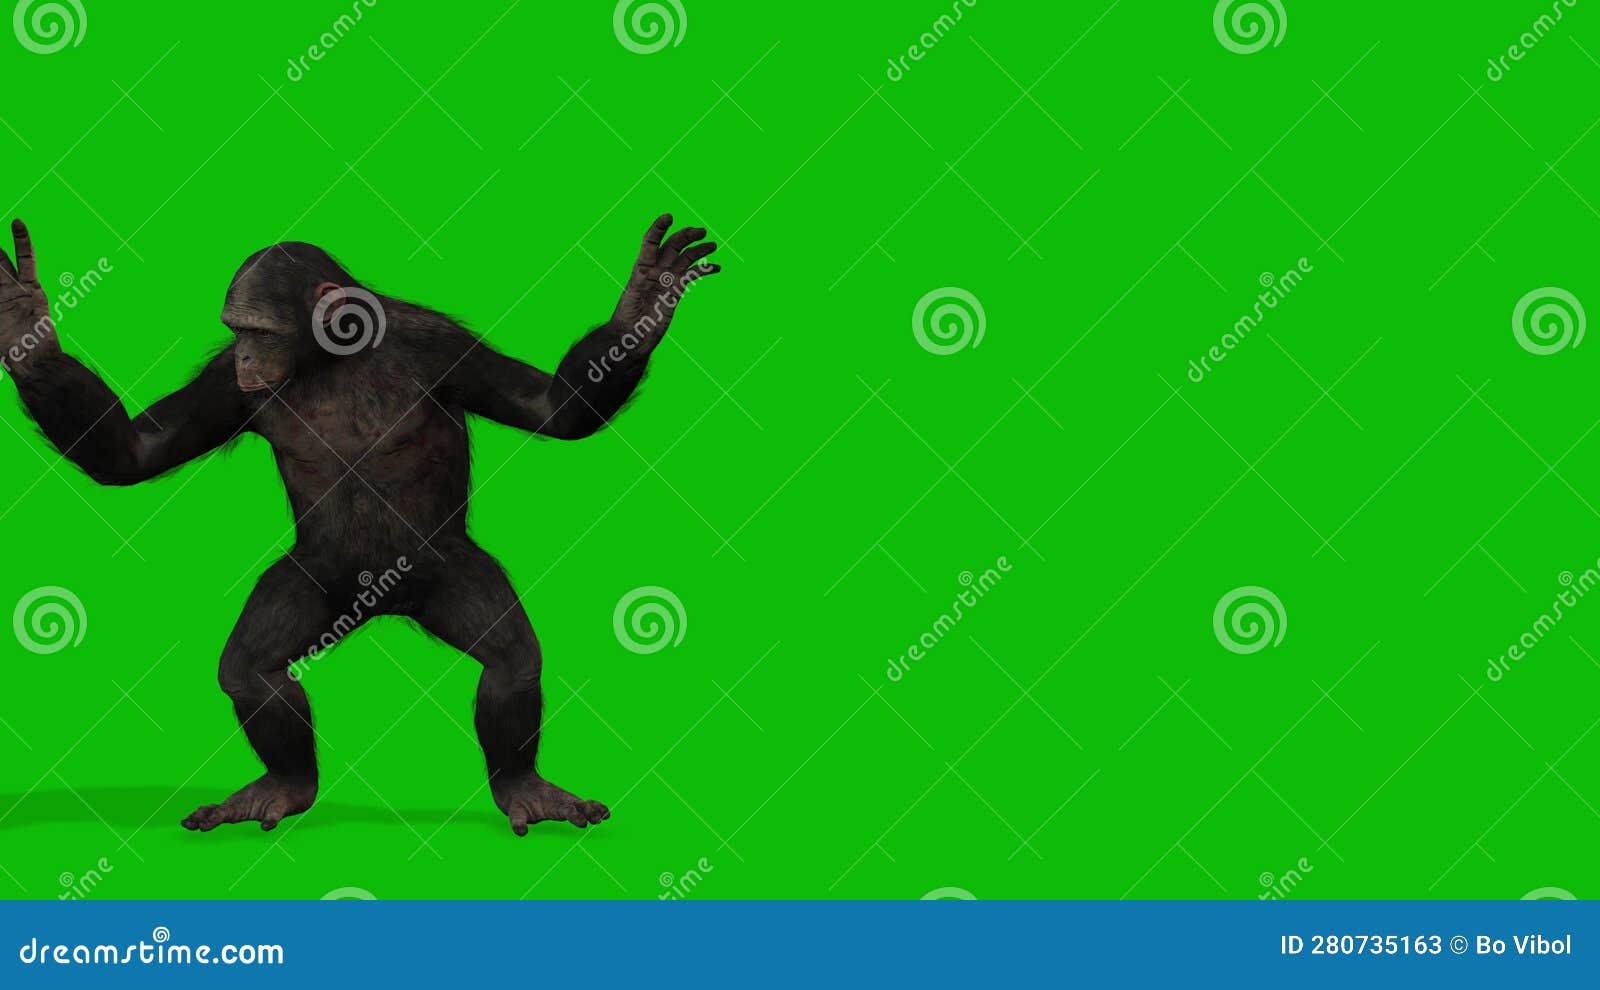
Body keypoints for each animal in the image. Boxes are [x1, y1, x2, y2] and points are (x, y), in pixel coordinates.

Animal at [0, 215, 719, 834]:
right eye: (238, 333)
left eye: (261, 330)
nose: (248, 358)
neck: (333, 358)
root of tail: (382, 604)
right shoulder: (224, 382)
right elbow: (134, 453)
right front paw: (23, 326)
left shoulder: (441, 345)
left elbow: (552, 409)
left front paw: (645, 300)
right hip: (315, 582)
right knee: (251, 672)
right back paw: (285, 785)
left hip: (447, 570)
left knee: (511, 664)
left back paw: (524, 788)